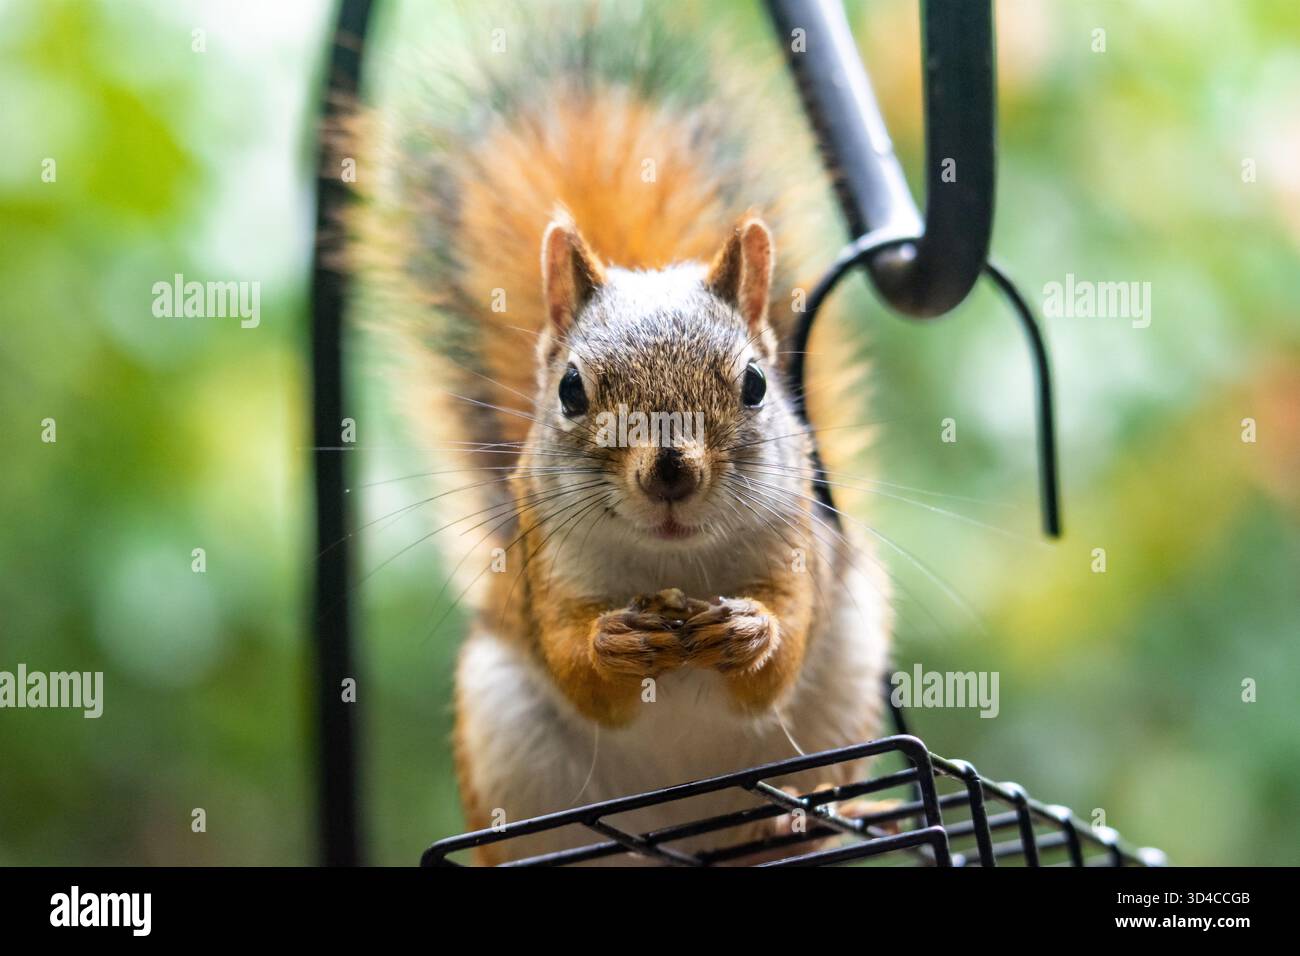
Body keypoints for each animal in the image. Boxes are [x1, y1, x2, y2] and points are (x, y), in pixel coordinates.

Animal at [348, 3, 892, 864]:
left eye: (756, 384)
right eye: (570, 388)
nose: (669, 472)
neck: (673, 564)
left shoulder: (797, 547)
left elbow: (783, 648)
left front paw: (749, 628)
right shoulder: (547, 572)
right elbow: (578, 670)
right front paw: (615, 643)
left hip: (848, 677)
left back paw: (797, 819)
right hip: (502, 728)